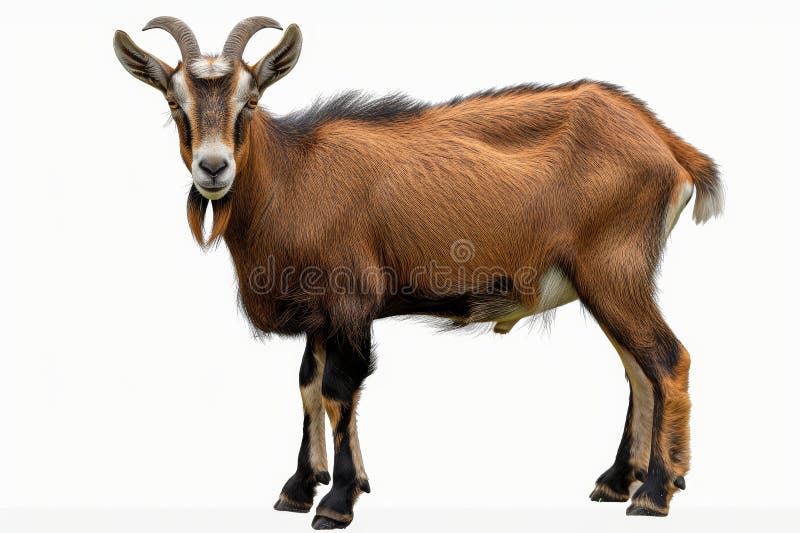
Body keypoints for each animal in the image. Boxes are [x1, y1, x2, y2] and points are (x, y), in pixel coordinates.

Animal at [114, 16, 723, 529]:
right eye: (175, 104)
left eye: (251, 101)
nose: (213, 168)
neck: (293, 176)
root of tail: (667, 145)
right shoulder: (319, 313)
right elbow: (308, 386)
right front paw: (301, 486)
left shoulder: (350, 301)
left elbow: (338, 390)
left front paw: (337, 500)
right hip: (605, 282)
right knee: (638, 371)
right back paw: (619, 481)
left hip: (614, 271)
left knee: (667, 360)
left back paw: (655, 492)